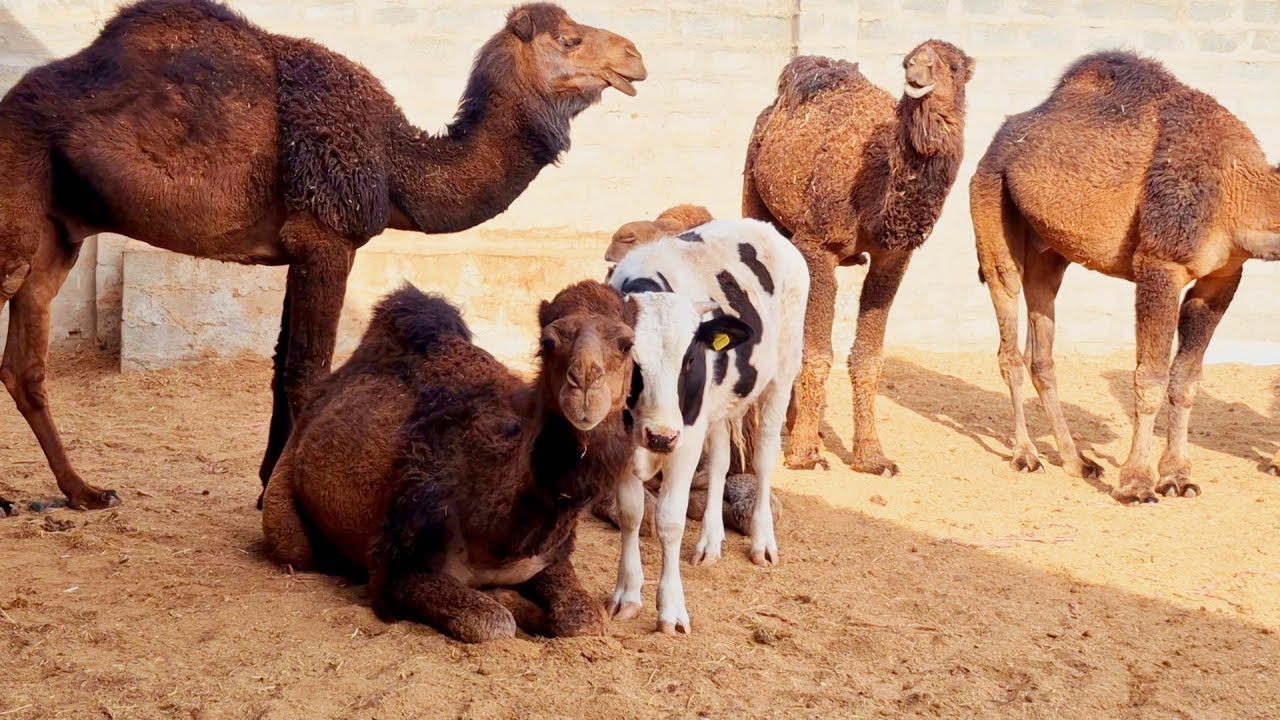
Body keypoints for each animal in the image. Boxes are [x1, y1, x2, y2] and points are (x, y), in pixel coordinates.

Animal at [0, 0, 645, 511]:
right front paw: (285, 499)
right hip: (15, 216)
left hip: (57, 234)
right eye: (569, 39)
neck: (395, 163)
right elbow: (307, 369)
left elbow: (280, 365)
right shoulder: (328, 236)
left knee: (24, 362)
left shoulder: (298, 247)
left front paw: (267, 484)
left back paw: (84, 492)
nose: (635, 55)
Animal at [262, 280, 635, 642]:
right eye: (548, 341)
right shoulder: (398, 567)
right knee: (294, 545)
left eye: (627, 344)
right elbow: (493, 622)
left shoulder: (550, 558)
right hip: (288, 500)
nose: (584, 386)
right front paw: (503, 600)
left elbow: (585, 619)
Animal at [742, 41, 973, 475]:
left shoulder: (893, 260)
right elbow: (817, 353)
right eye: (911, 58)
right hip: (756, 198)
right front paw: (804, 454)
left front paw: (871, 455)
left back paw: (797, 423)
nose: (917, 71)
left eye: (953, 66)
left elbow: (868, 358)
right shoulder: (818, 246)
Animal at [971, 51, 1280, 503]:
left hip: (1050, 252)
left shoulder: (1223, 277)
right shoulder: (1159, 263)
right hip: (991, 203)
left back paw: (1077, 462)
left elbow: (1186, 379)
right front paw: (1136, 483)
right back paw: (1026, 455)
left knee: (1041, 348)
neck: (1238, 189)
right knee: (1008, 331)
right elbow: (1150, 377)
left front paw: (1178, 477)